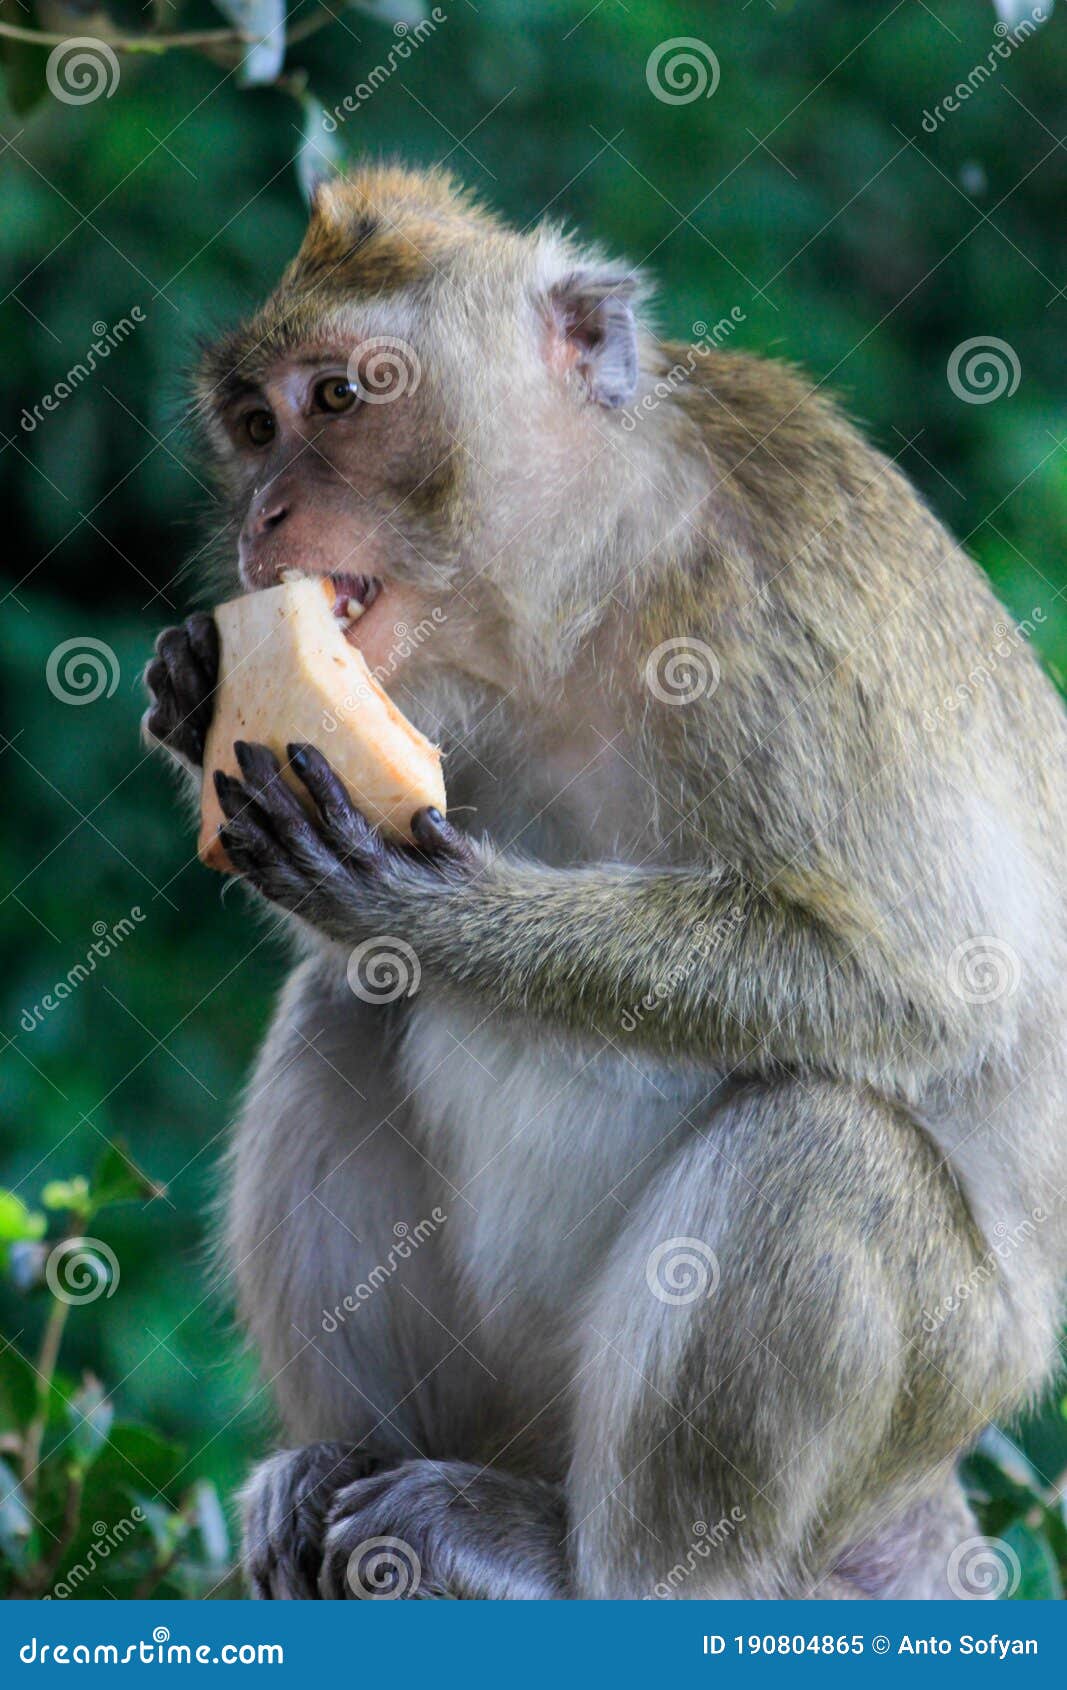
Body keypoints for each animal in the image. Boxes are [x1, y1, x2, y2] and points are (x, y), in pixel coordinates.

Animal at [144, 163, 1067, 1600]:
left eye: (340, 398)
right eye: (251, 425)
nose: (260, 519)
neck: (574, 600)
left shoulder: (765, 616)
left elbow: (927, 984)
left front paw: (429, 906)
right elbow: (350, 971)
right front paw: (199, 696)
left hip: (930, 1384)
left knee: (817, 1141)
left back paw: (576, 1566)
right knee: (340, 1014)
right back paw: (341, 1460)